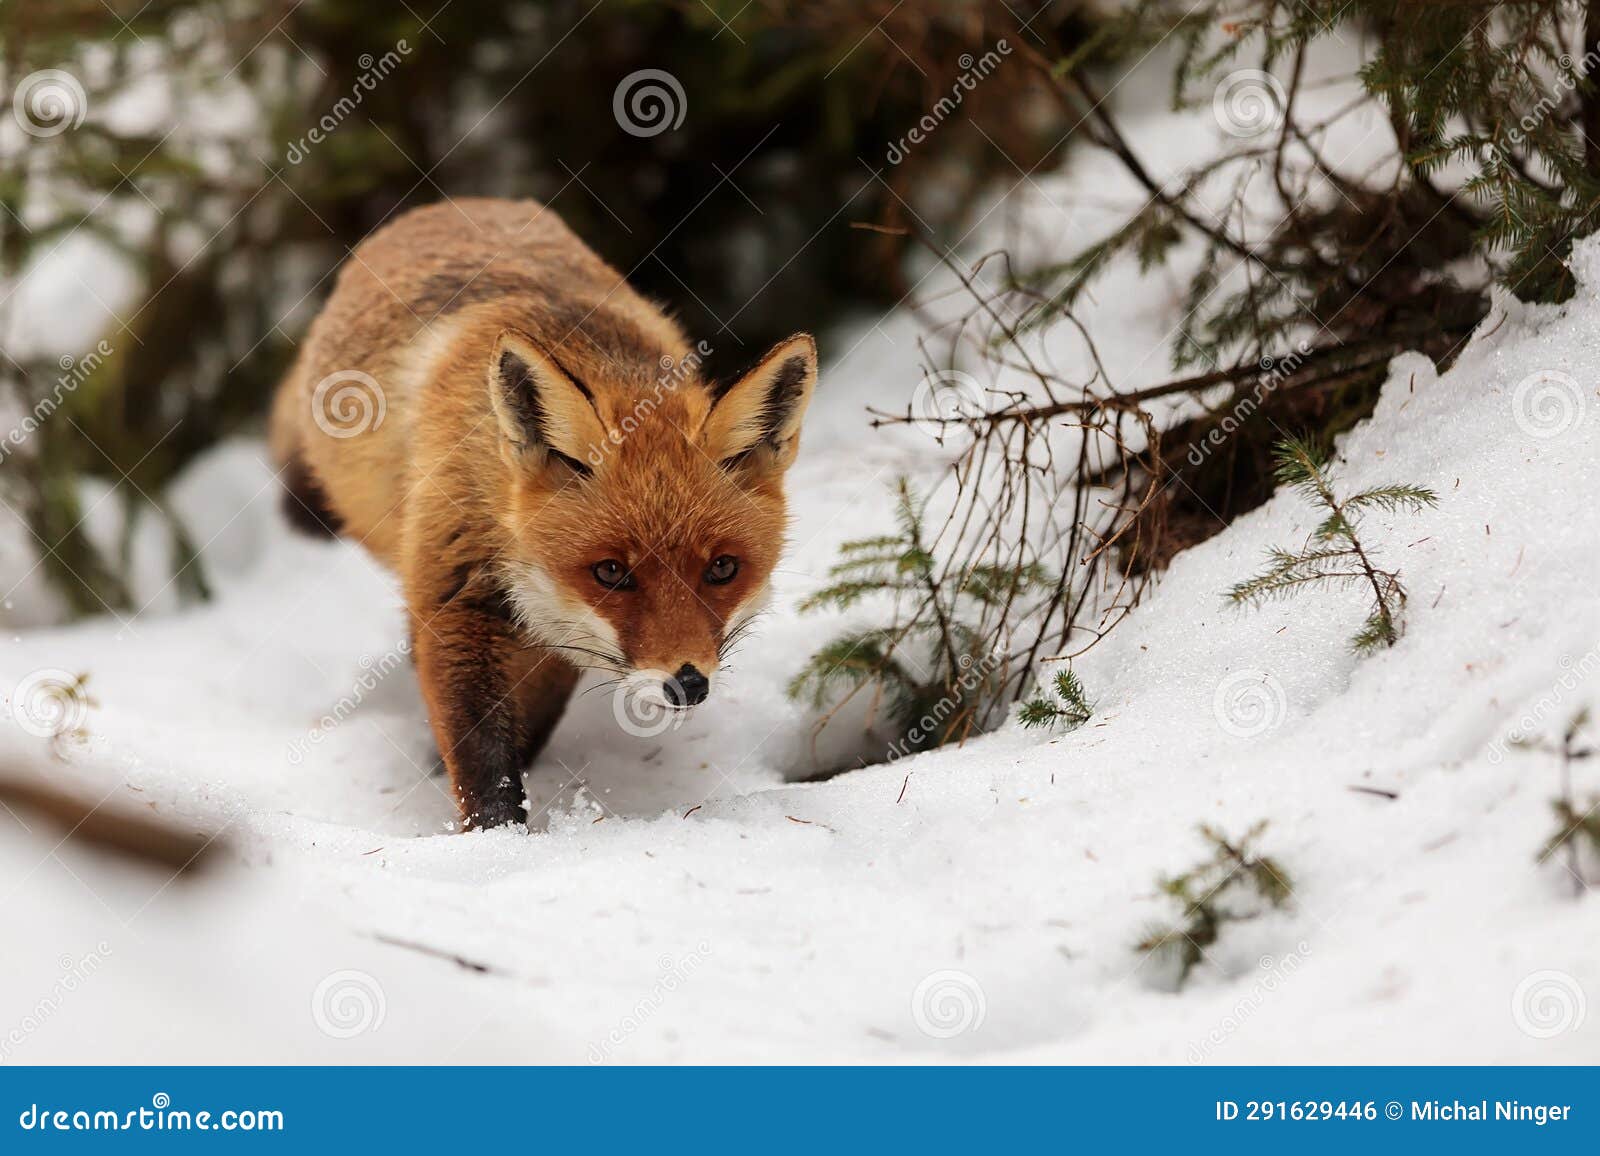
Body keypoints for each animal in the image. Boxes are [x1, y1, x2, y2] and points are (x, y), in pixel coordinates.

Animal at [268, 198, 817, 830]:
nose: (686, 685)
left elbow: (531, 718)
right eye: (610, 572)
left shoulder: (561, 629)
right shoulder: (454, 595)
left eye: (723, 569)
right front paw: (496, 836)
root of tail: (458, 203)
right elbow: (481, 755)